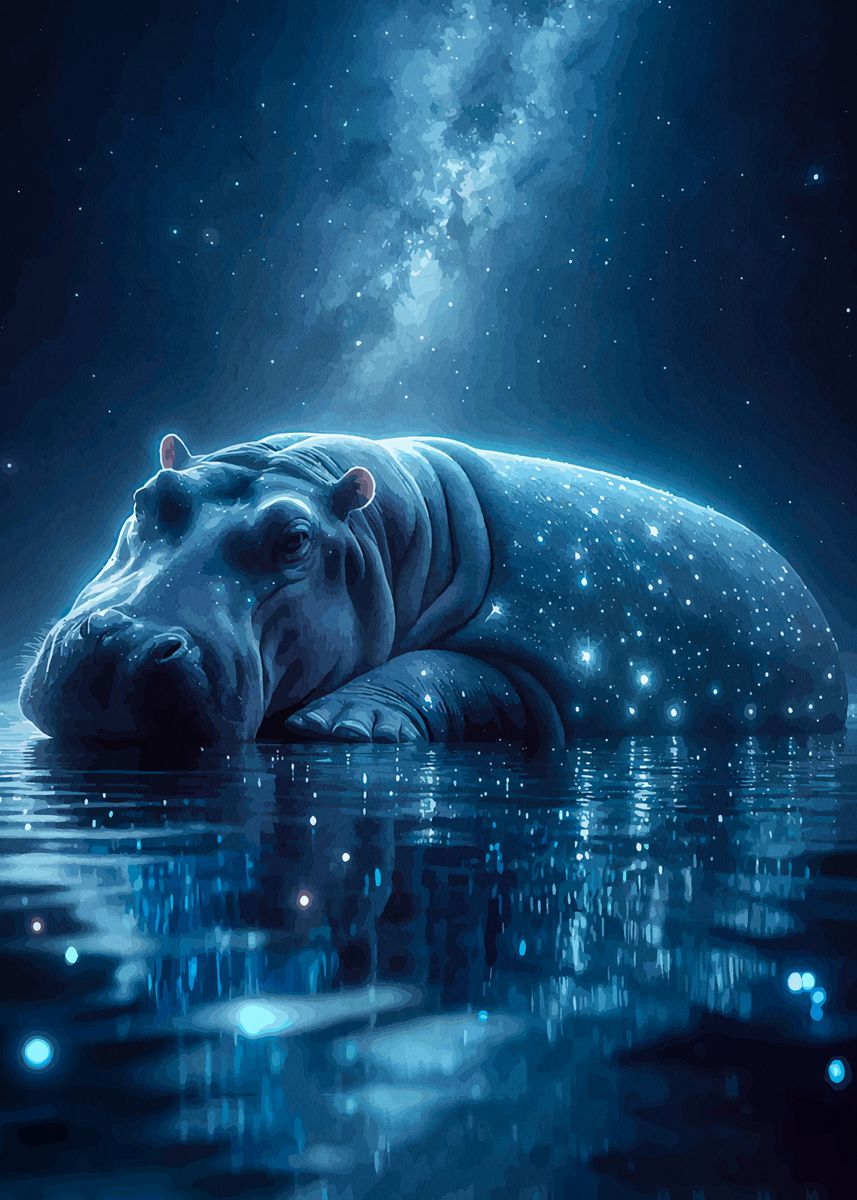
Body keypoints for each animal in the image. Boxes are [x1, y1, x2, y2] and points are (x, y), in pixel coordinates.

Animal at [20, 432, 846, 747]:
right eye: (147, 496)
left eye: (293, 540)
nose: (118, 646)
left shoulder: (539, 662)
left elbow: (445, 667)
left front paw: (338, 726)